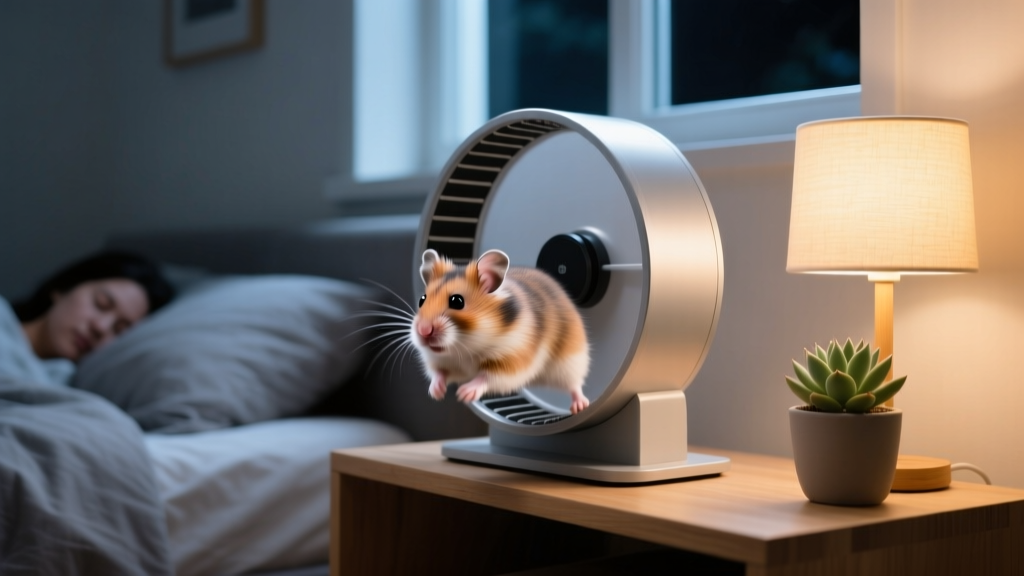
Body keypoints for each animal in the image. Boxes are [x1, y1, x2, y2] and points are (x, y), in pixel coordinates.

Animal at [412, 248, 591, 414]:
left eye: (457, 301)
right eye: (422, 300)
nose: (423, 331)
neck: (467, 345)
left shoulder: (512, 359)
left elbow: (486, 377)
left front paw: (464, 394)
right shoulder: (442, 362)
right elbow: (439, 373)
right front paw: (436, 393)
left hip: (570, 361)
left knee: (575, 384)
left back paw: (581, 406)